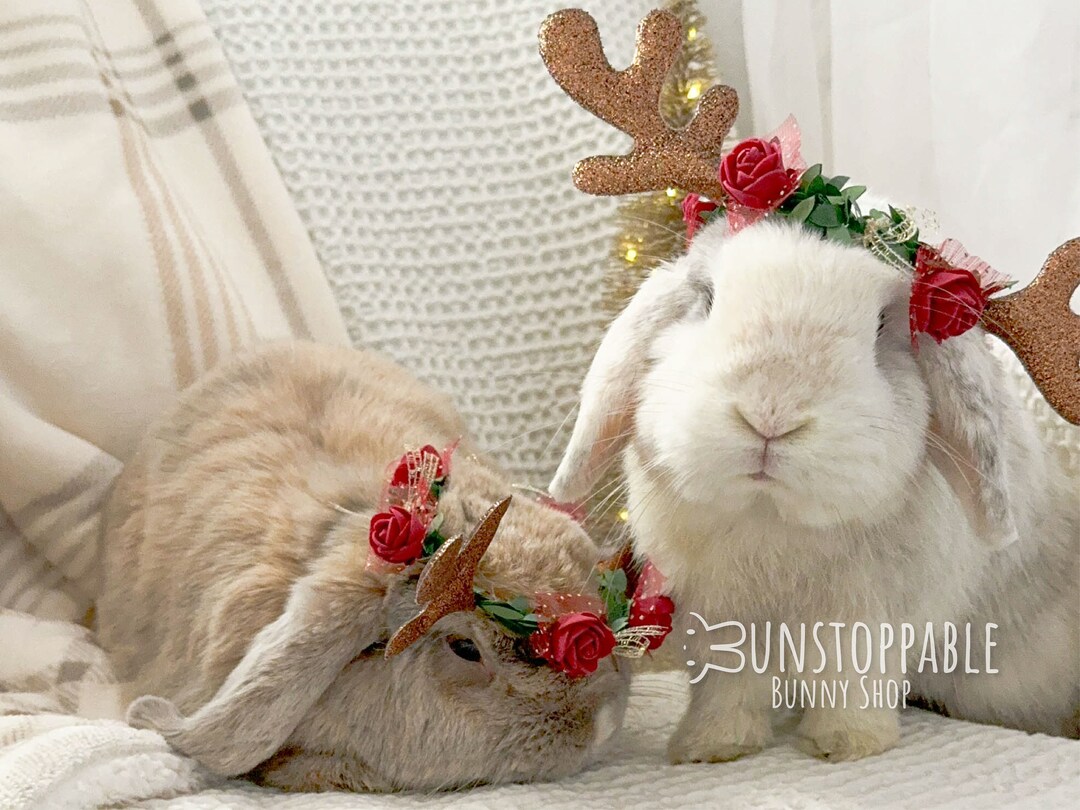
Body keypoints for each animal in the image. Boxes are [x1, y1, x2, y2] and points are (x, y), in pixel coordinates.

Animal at [548, 217, 1079, 763]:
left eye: (882, 326)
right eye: (709, 299)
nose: (770, 416)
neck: (771, 517)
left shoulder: (868, 622)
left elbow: (851, 684)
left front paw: (846, 746)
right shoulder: (722, 623)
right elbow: (727, 690)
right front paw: (710, 746)